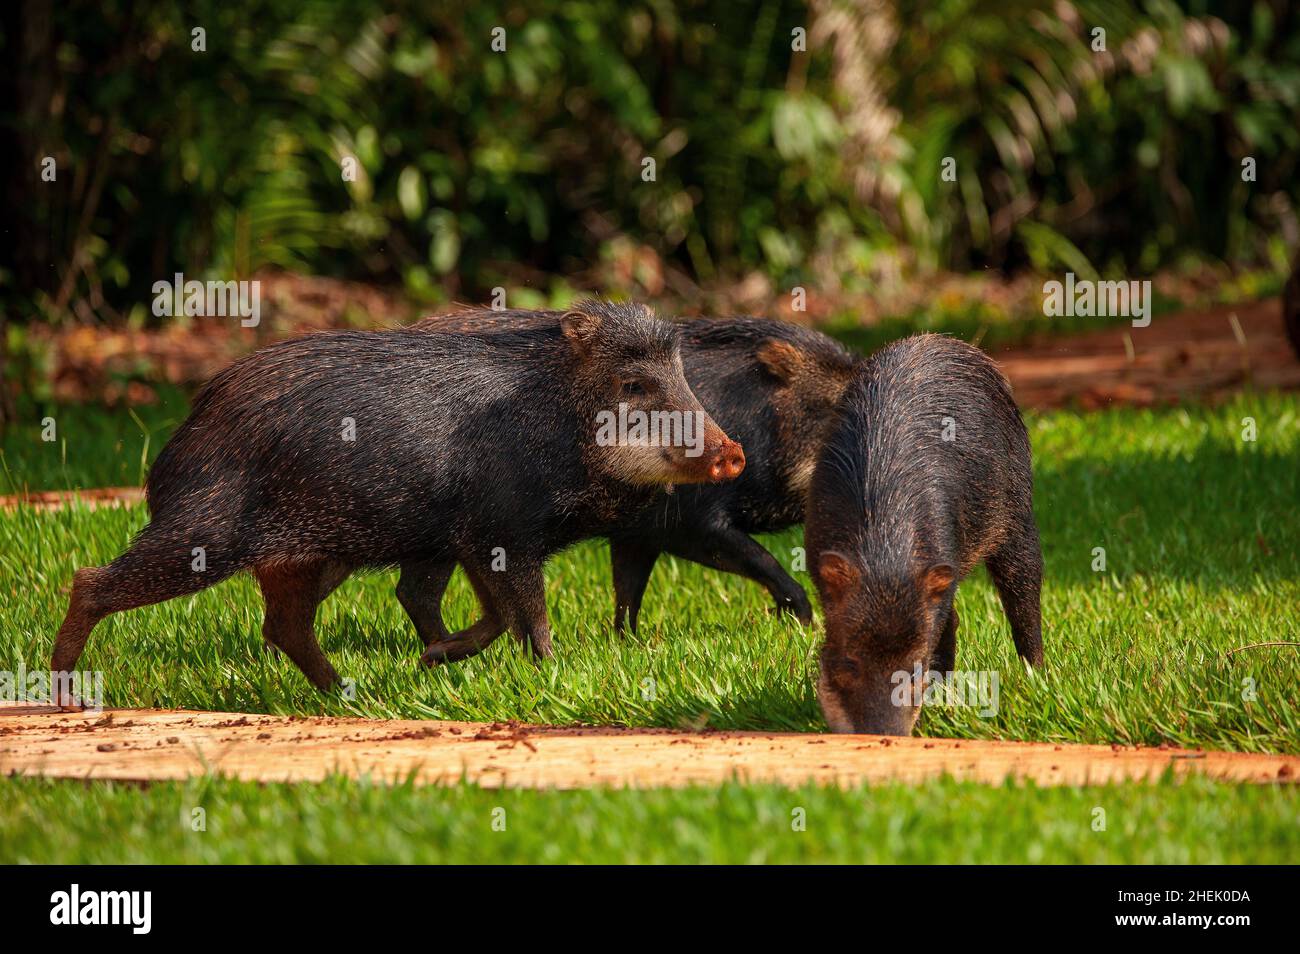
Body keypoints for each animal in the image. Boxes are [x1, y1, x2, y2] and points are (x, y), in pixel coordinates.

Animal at [50, 300, 744, 696]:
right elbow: (528, 617)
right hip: (206, 535)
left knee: (285, 626)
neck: (558, 418)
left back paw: (343, 694)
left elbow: (490, 615)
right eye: (633, 384)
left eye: (681, 374)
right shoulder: (502, 534)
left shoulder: (465, 540)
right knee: (91, 582)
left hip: (313, 555)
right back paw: (61, 689)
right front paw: (551, 671)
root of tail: (181, 439)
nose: (732, 452)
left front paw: (436, 660)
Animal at [392, 312, 859, 642]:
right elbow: (763, 559)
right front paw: (802, 619)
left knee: (412, 593)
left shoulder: (639, 533)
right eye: (835, 408)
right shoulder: (690, 522)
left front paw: (626, 642)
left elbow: (629, 590)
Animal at [805, 333, 1042, 736]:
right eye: (849, 662)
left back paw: (1036, 679)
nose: (882, 737)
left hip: (1017, 518)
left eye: (913, 670)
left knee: (1024, 596)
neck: (884, 547)